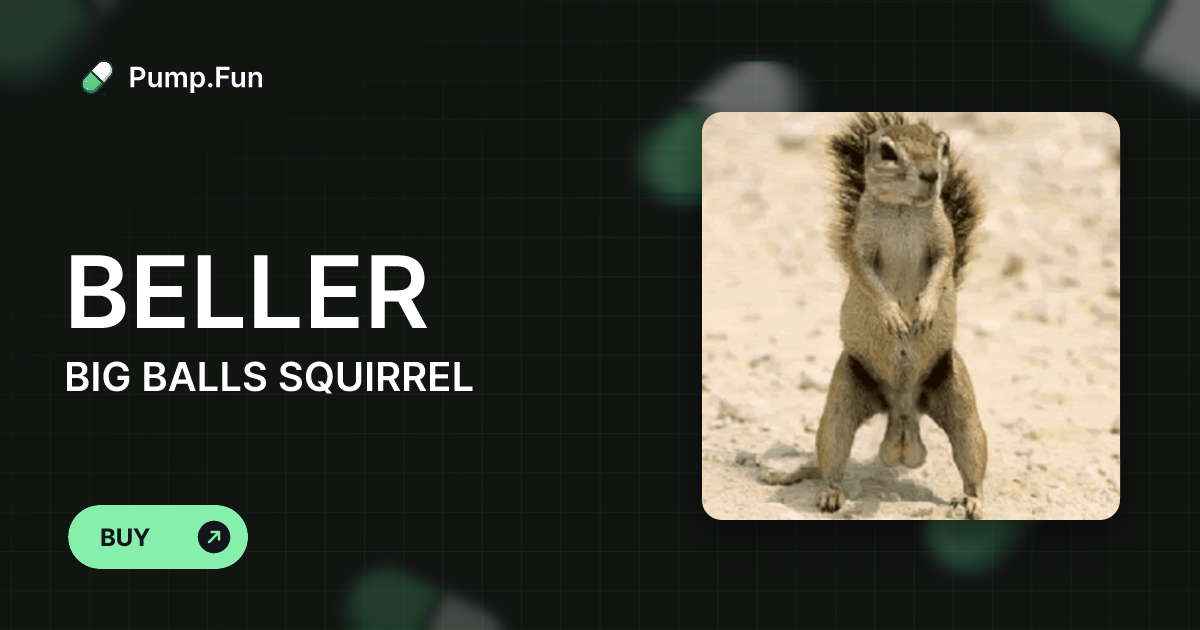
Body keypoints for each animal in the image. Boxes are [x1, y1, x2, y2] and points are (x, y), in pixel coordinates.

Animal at [815, 112, 988, 519]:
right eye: (887, 152)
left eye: (942, 148)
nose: (930, 174)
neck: (904, 209)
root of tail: (903, 407)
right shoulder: (860, 244)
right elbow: (867, 277)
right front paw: (894, 316)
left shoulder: (944, 239)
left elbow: (943, 267)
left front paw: (924, 309)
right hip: (844, 394)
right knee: (834, 445)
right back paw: (830, 493)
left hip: (958, 398)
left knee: (970, 451)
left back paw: (972, 499)